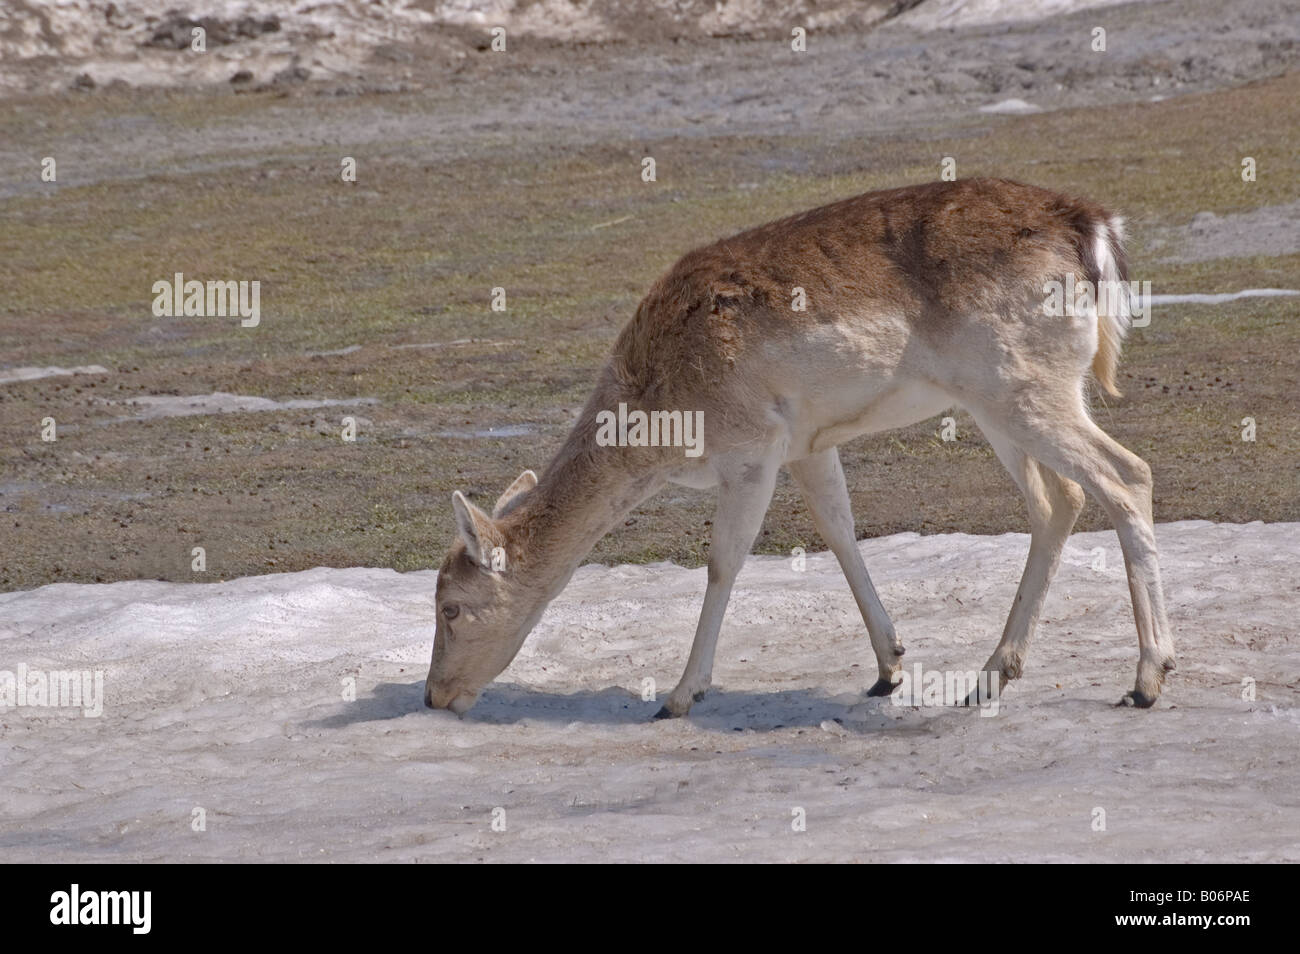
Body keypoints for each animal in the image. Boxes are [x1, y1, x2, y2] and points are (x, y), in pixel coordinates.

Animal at [424, 178, 1176, 719]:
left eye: (451, 606)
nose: (433, 696)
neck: (660, 416)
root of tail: (1093, 227)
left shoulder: (752, 447)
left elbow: (723, 563)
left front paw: (680, 694)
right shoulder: (808, 444)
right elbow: (840, 531)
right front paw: (888, 666)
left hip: (1021, 385)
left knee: (1126, 474)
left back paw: (1147, 677)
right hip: (1005, 398)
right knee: (1060, 499)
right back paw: (991, 675)